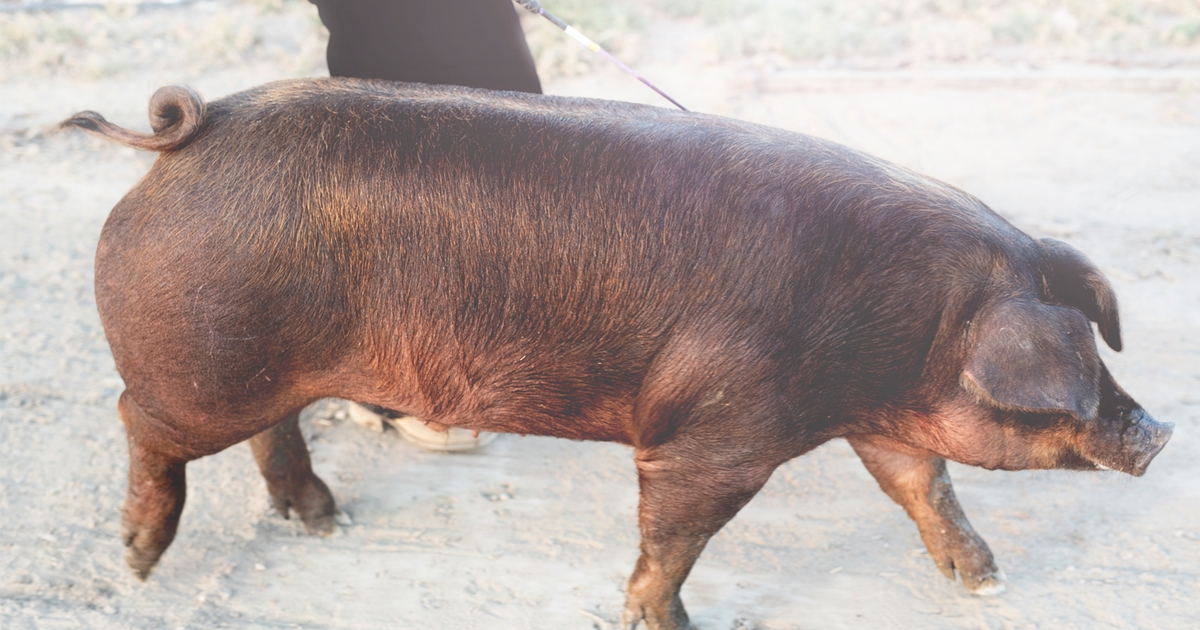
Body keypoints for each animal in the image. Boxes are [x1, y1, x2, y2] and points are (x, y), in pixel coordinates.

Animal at [62, 78, 1171, 630]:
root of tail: (191, 131)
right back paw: (137, 561)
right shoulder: (717, 433)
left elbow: (925, 487)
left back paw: (324, 523)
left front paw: (987, 587)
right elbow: (677, 532)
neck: (907, 340)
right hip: (197, 361)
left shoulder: (873, 419)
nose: (1159, 428)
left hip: (252, 363)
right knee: (136, 420)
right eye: (1077, 379)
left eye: (1103, 357)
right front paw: (662, 624)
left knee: (270, 427)